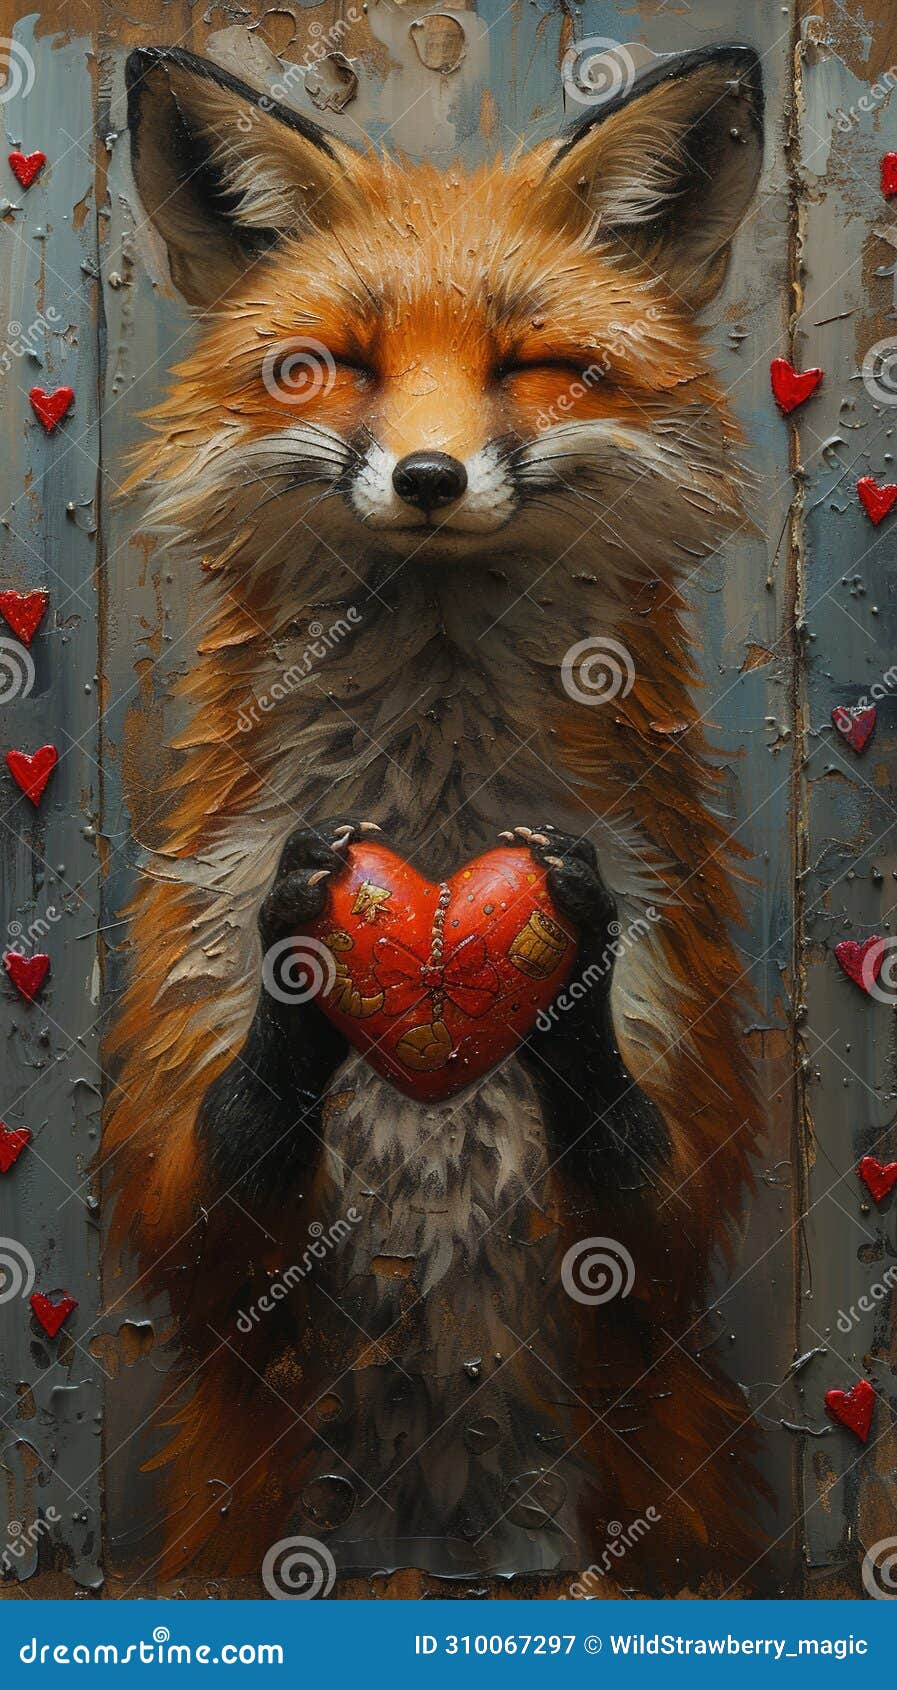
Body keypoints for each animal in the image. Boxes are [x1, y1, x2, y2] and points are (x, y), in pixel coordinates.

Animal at [104, 43, 774, 1593]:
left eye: (532, 367)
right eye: (333, 365)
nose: (426, 477)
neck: (439, 810)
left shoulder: (679, 1164)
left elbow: (655, 1204)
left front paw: (566, 990)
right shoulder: (186, 1182)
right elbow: (208, 1194)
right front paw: (299, 977)